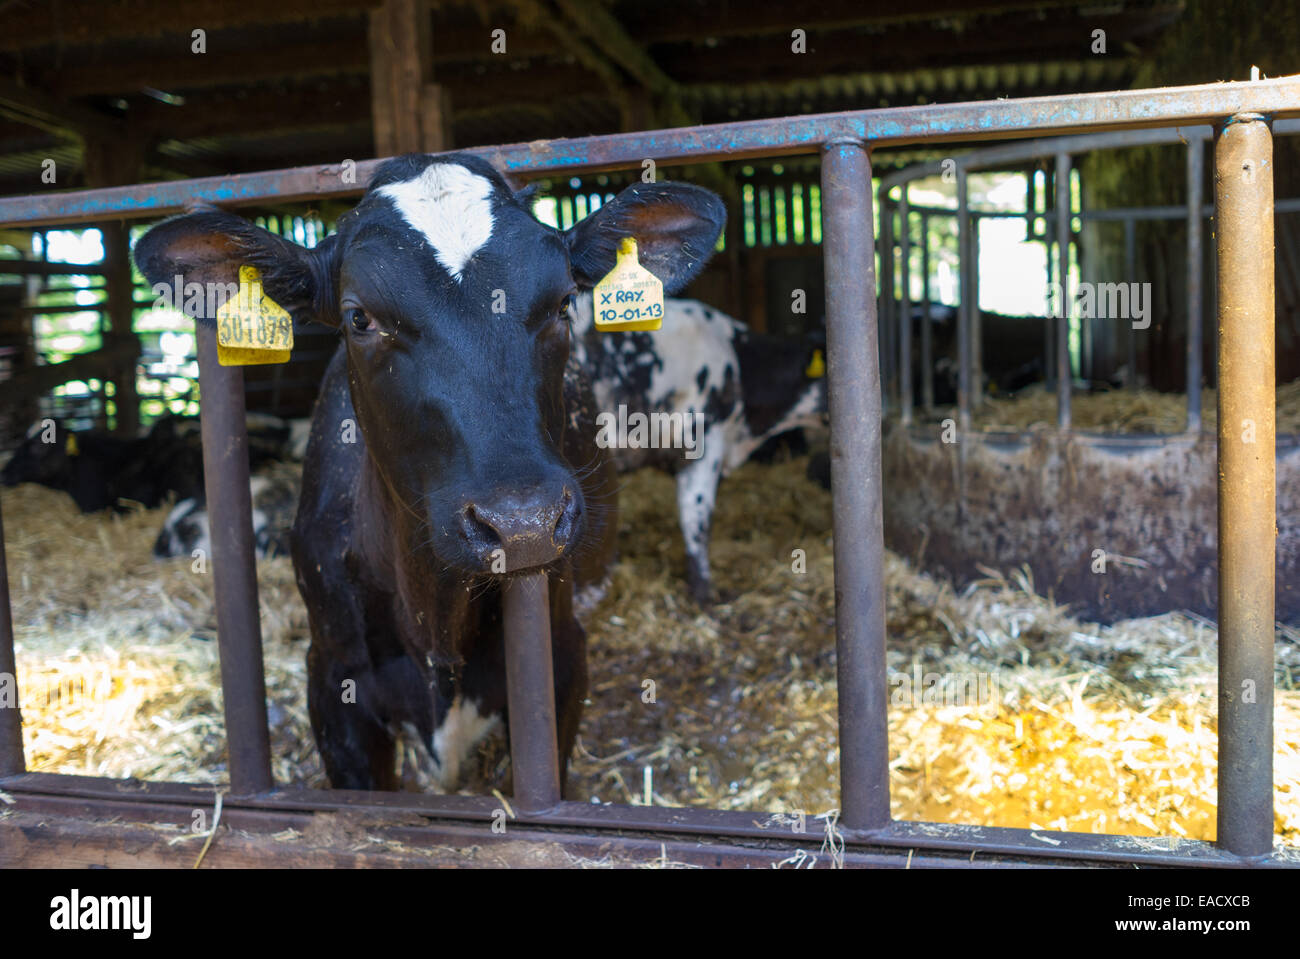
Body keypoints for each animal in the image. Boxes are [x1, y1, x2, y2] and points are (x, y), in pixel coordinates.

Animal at [135, 152, 724, 793]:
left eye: (565, 301)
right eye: (359, 318)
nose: (523, 524)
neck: (433, 612)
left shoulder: (564, 660)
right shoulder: (333, 684)